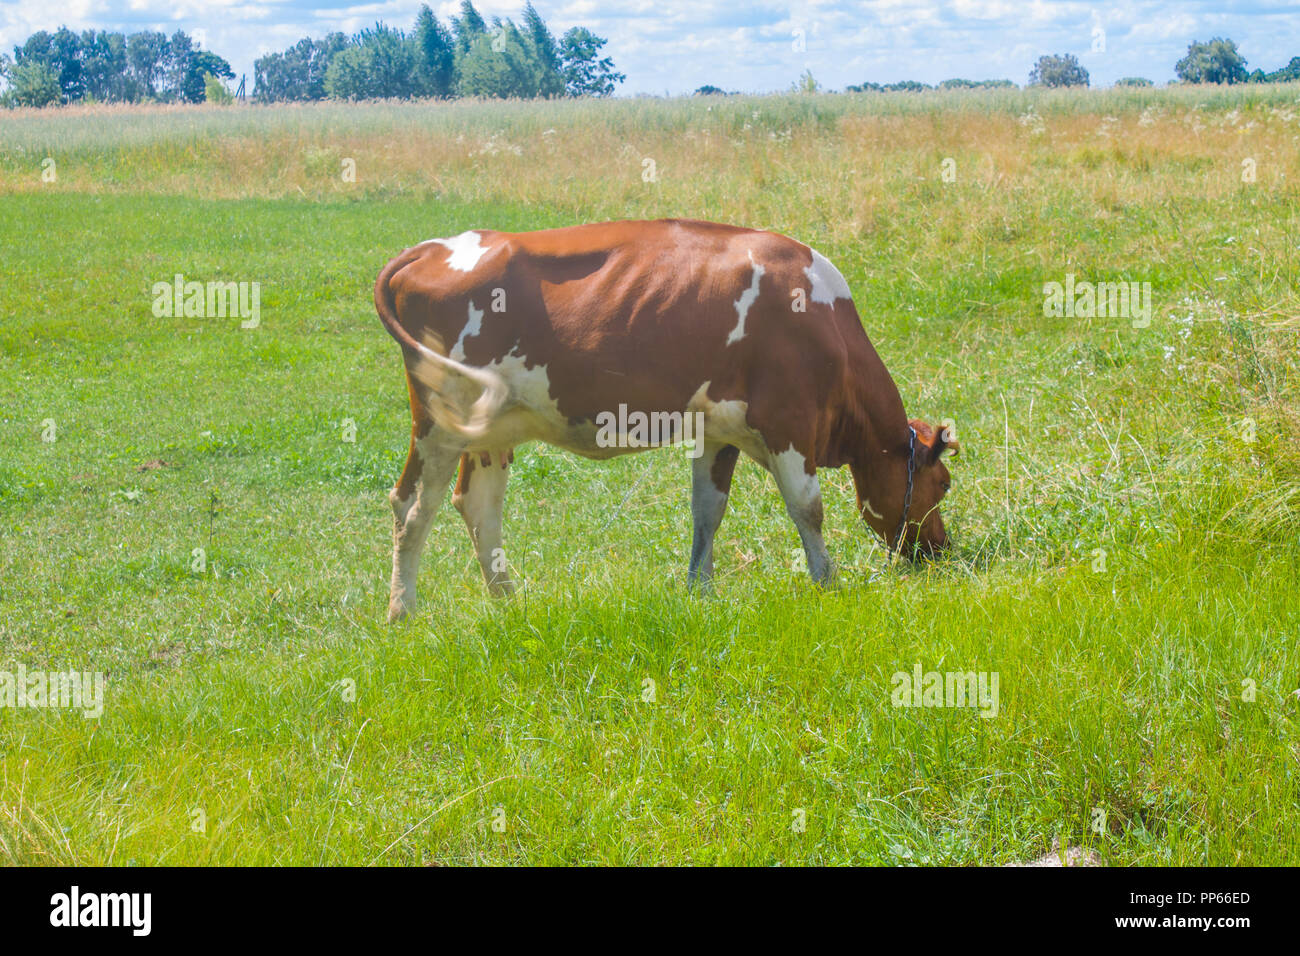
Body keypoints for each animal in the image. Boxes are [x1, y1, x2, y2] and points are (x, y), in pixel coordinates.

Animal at [374, 219, 957, 620]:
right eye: (943, 484)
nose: (940, 550)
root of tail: (436, 247)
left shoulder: (719, 430)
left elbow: (708, 511)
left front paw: (700, 589)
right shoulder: (789, 421)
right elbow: (807, 508)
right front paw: (827, 583)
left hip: (489, 430)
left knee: (477, 505)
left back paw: (508, 601)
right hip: (439, 422)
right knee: (412, 506)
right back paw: (404, 611)